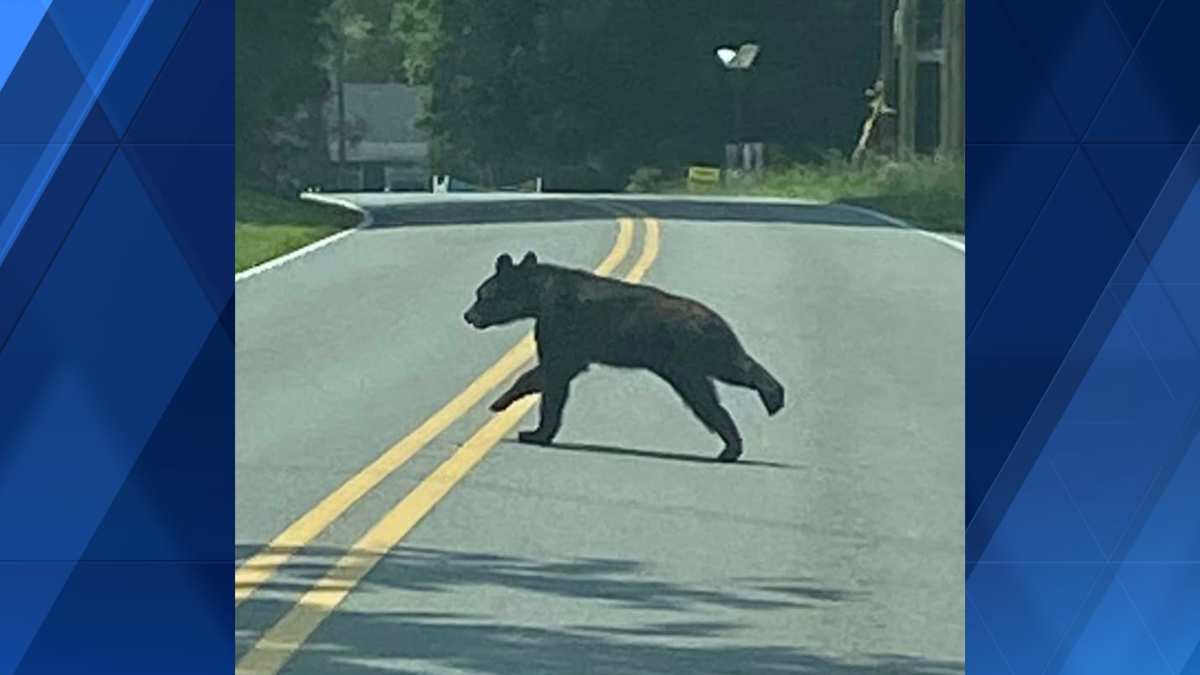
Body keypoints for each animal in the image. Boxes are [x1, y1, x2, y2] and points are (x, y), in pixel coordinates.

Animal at [463, 251, 784, 462]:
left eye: (481, 295)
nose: (467, 315)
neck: (540, 296)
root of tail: (716, 319)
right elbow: (561, 377)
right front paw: (538, 431)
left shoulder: (561, 321)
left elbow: (553, 371)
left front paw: (511, 412)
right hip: (686, 367)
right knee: (709, 399)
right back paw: (731, 447)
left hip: (694, 351)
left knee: (729, 371)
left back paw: (773, 397)